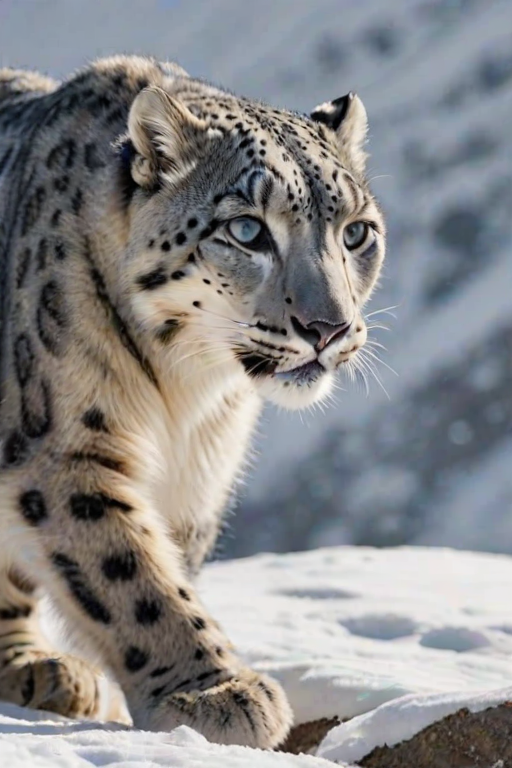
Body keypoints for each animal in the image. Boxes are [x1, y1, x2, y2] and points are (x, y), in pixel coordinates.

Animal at [0, 55, 385, 748]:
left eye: (357, 232)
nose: (329, 328)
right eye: (247, 229)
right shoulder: (65, 449)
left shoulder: (199, 478)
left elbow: (165, 567)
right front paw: (215, 692)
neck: (185, 390)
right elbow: (130, 573)